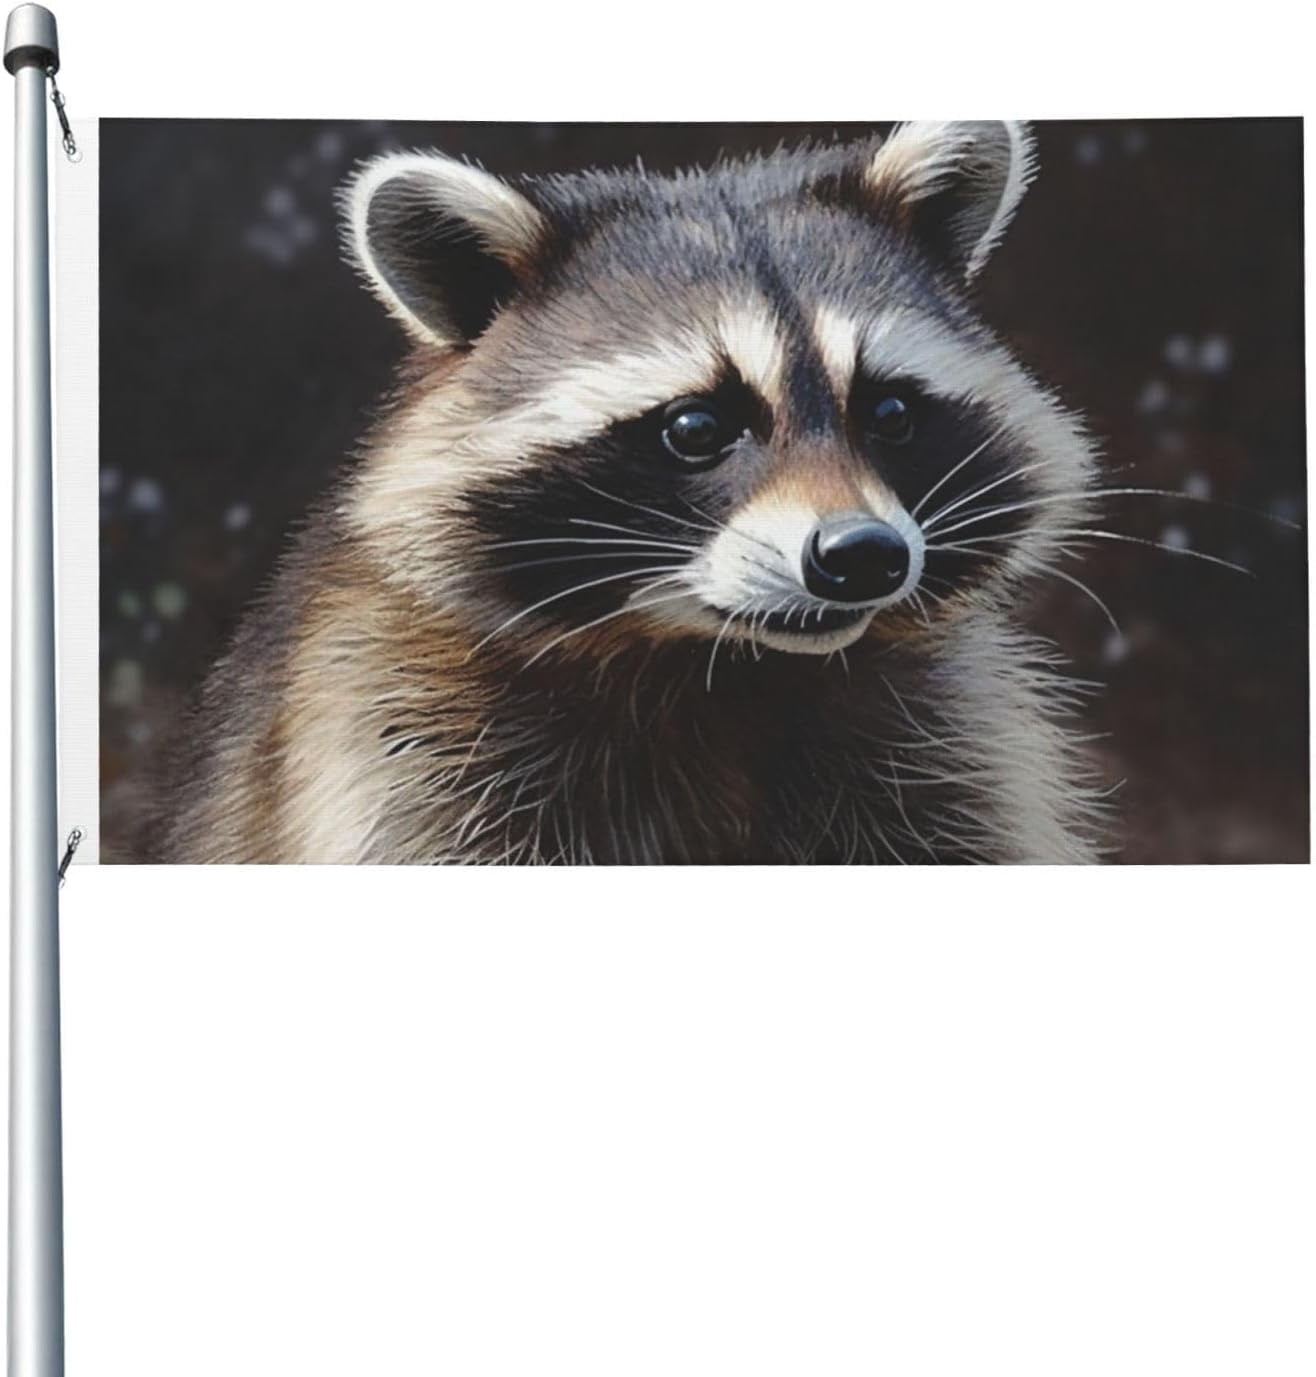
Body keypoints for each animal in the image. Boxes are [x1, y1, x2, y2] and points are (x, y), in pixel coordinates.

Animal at [157, 120, 1107, 864]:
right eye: (695, 427)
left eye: (891, 412)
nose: (863, 554)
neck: (715, 663)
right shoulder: (399, 742)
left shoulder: (951, 748)